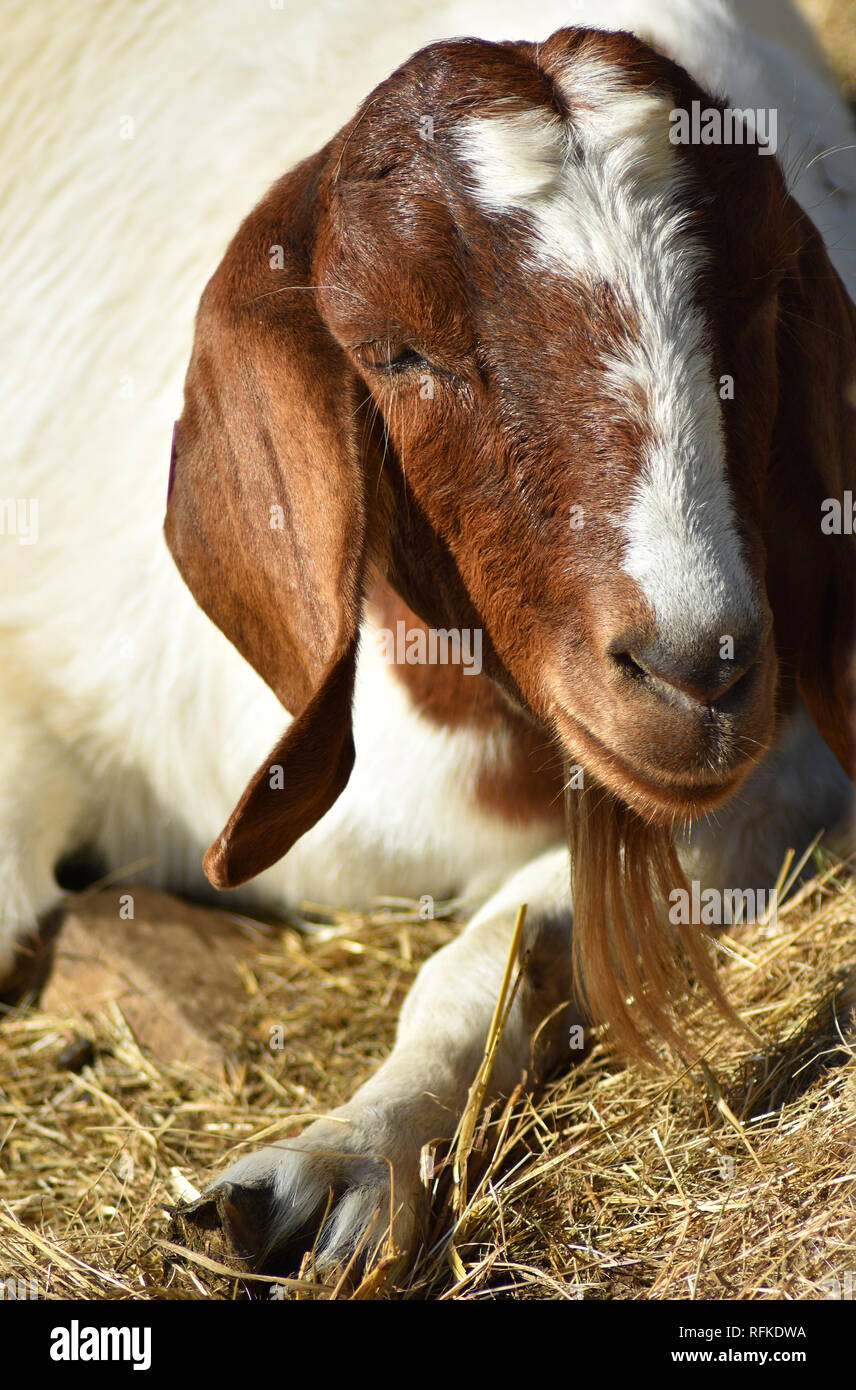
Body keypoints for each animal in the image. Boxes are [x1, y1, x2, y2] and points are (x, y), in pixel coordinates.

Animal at [3, 0, 854, 1275]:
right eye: (397, 351)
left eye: (758, 304)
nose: (695, 665)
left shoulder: (771, 785)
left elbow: (493, 957)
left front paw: (336, 1160)